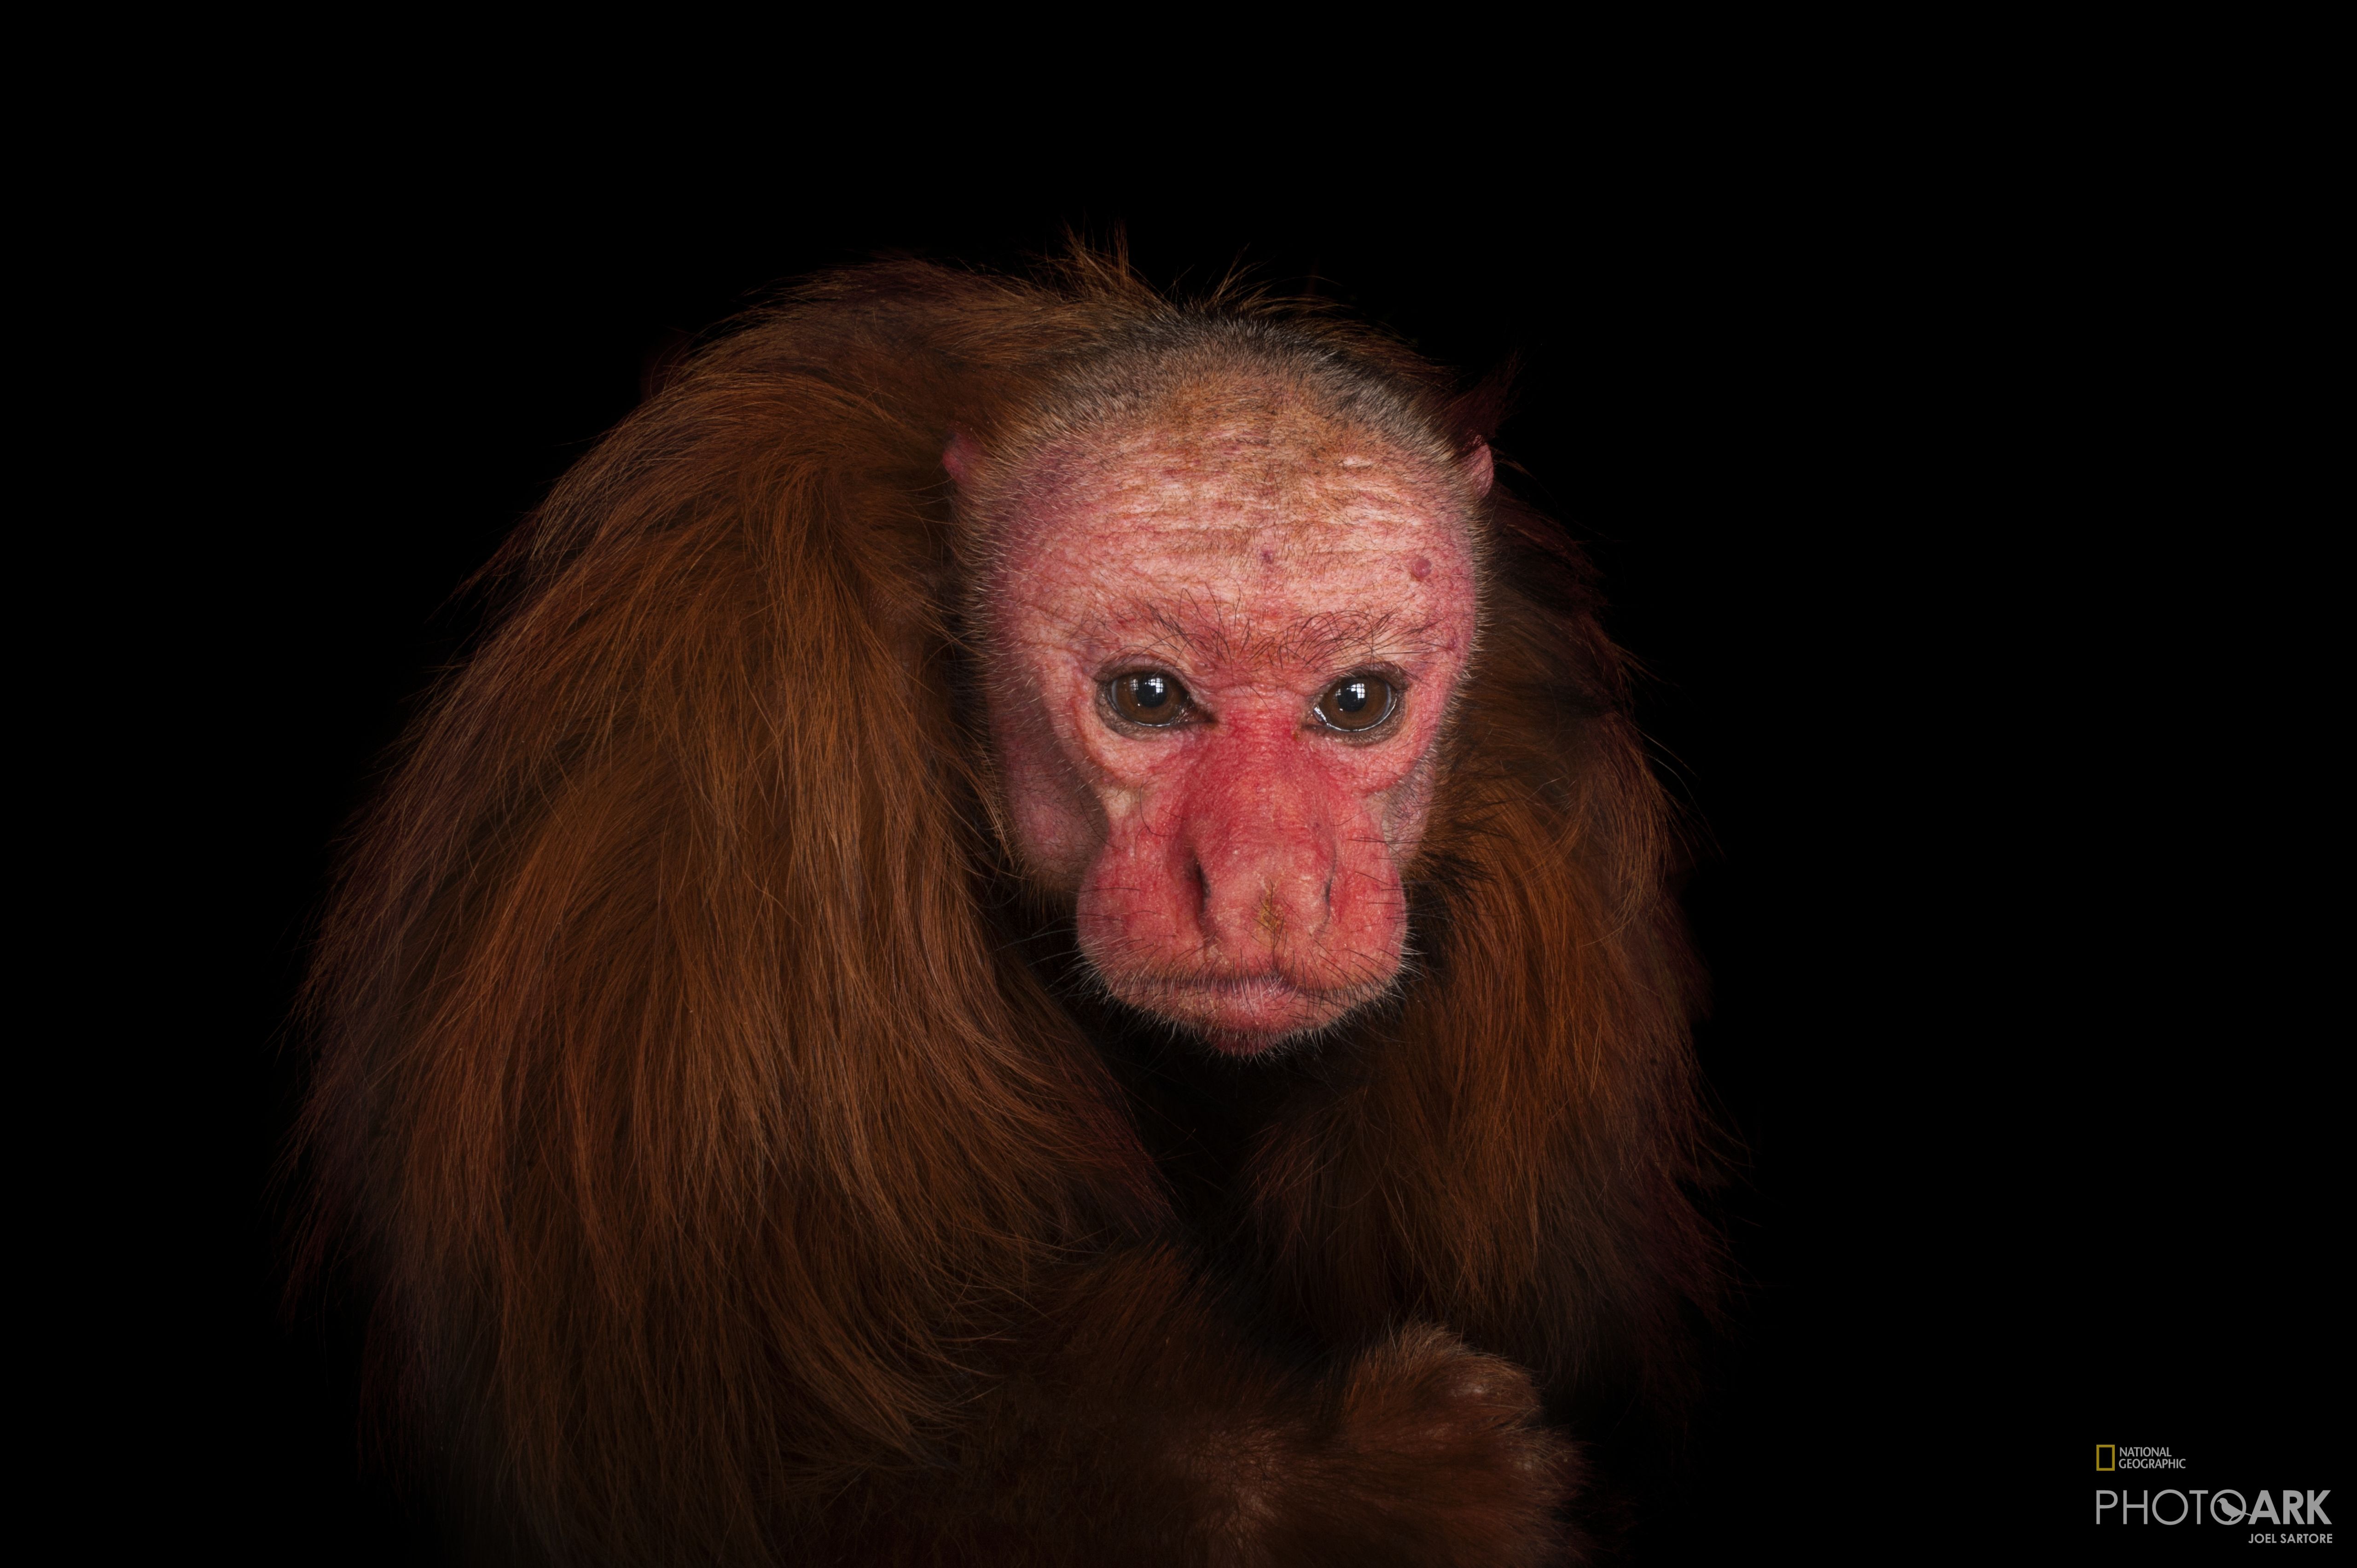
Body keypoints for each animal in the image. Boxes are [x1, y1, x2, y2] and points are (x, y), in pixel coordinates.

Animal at [294, 250, 1718, 1565]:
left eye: (1357, 702)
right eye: (1149, 696)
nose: (1264, 885)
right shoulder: (718, 769)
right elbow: (757, 1471)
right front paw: (1371, 1485)